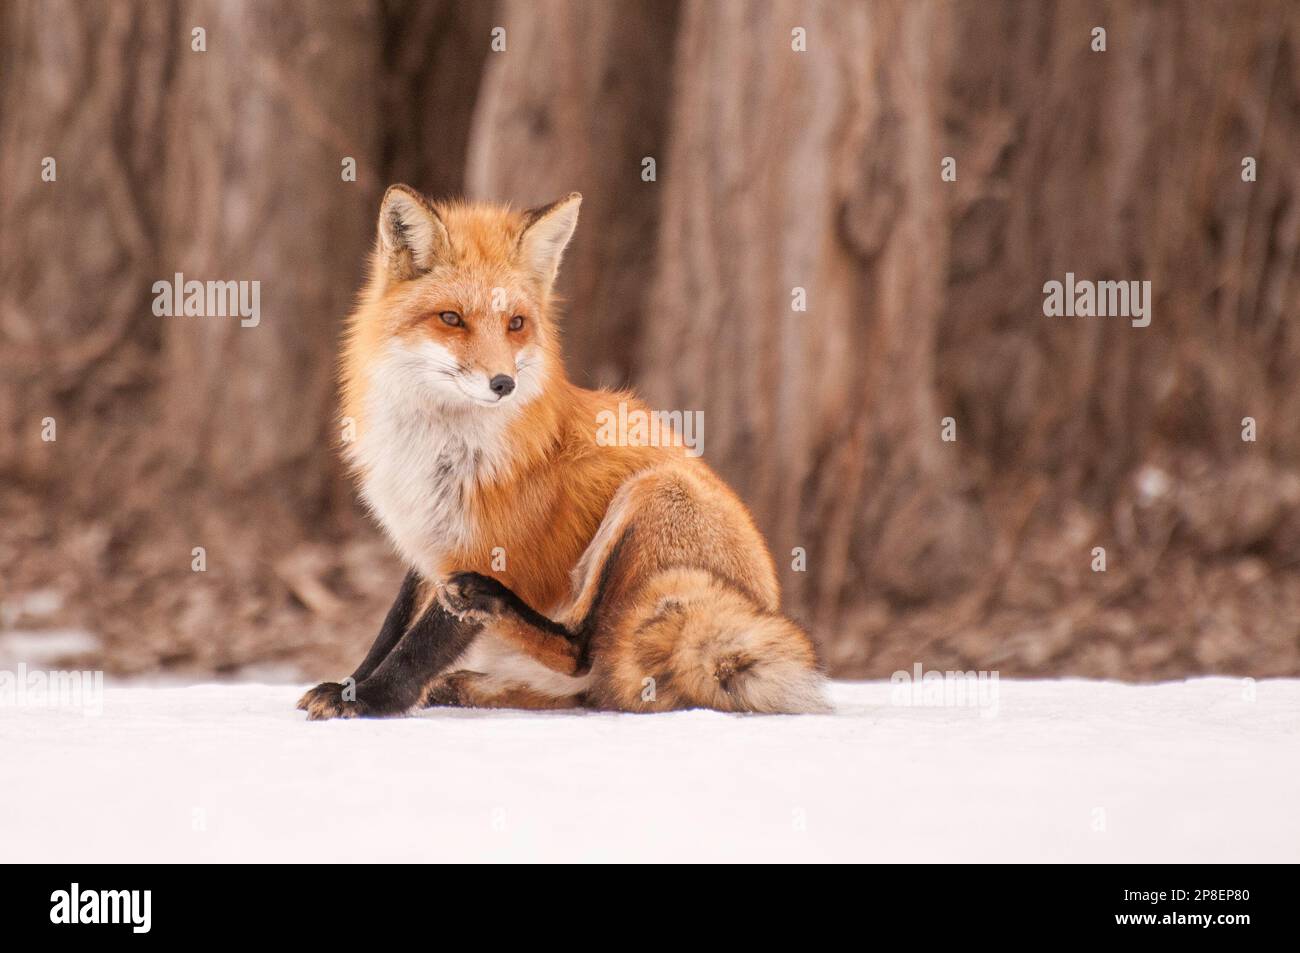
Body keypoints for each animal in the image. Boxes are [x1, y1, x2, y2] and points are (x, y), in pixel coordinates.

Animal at [297, 185, 828, 719]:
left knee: (581, 650)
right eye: (451, 319)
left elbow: (419, 646)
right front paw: (350, 684)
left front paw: (374, 698)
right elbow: (391, 630)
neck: (436, 451)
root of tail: (765, 599)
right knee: (581, 682)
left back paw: (488, 604)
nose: (503, 383)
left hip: (657, 491)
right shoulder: (426, 543)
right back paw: (471, 684)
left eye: (515, 324)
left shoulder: (490, 548)